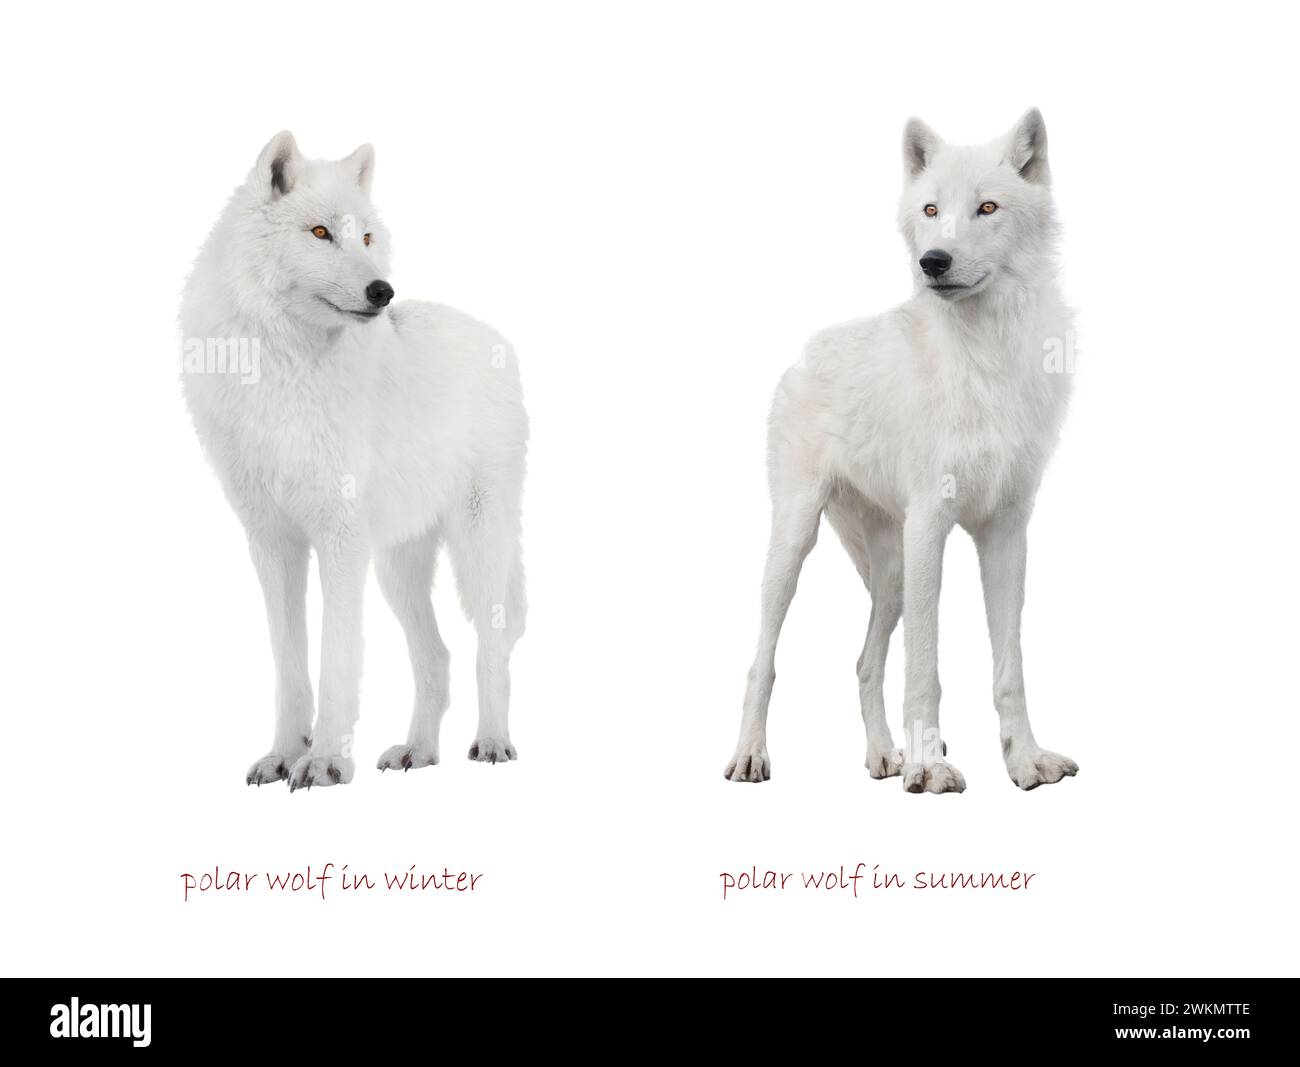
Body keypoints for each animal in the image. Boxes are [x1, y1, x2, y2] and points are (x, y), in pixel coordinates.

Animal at [181, 132, 528, 790]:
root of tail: (494, 339)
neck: (285, 370)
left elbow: (336, 658)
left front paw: (325, 762)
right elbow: (290, 664)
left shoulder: (340, 540)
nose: (382, 292)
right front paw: (283, 754)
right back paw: (417, 751)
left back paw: (494, 742)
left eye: (365, 237)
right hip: (396, 566)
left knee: (491, 647)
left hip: (477, 547)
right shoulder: (272, 543)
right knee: (437, 657)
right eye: (320, 233)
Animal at [725, 110, 1077, 792]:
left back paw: (883, 757)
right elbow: (925, 669)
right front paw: (930, 768)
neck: (985, 360)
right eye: (931, 209)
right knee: (762, 661)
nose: (932, 262)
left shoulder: (1005, 533)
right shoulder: (932, 527)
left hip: (890, 573)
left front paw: (1024, 762)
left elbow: (1009, 669)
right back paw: (752, 755)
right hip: (798, 544)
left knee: (864, 662)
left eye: (987, 207)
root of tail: (804, 351)